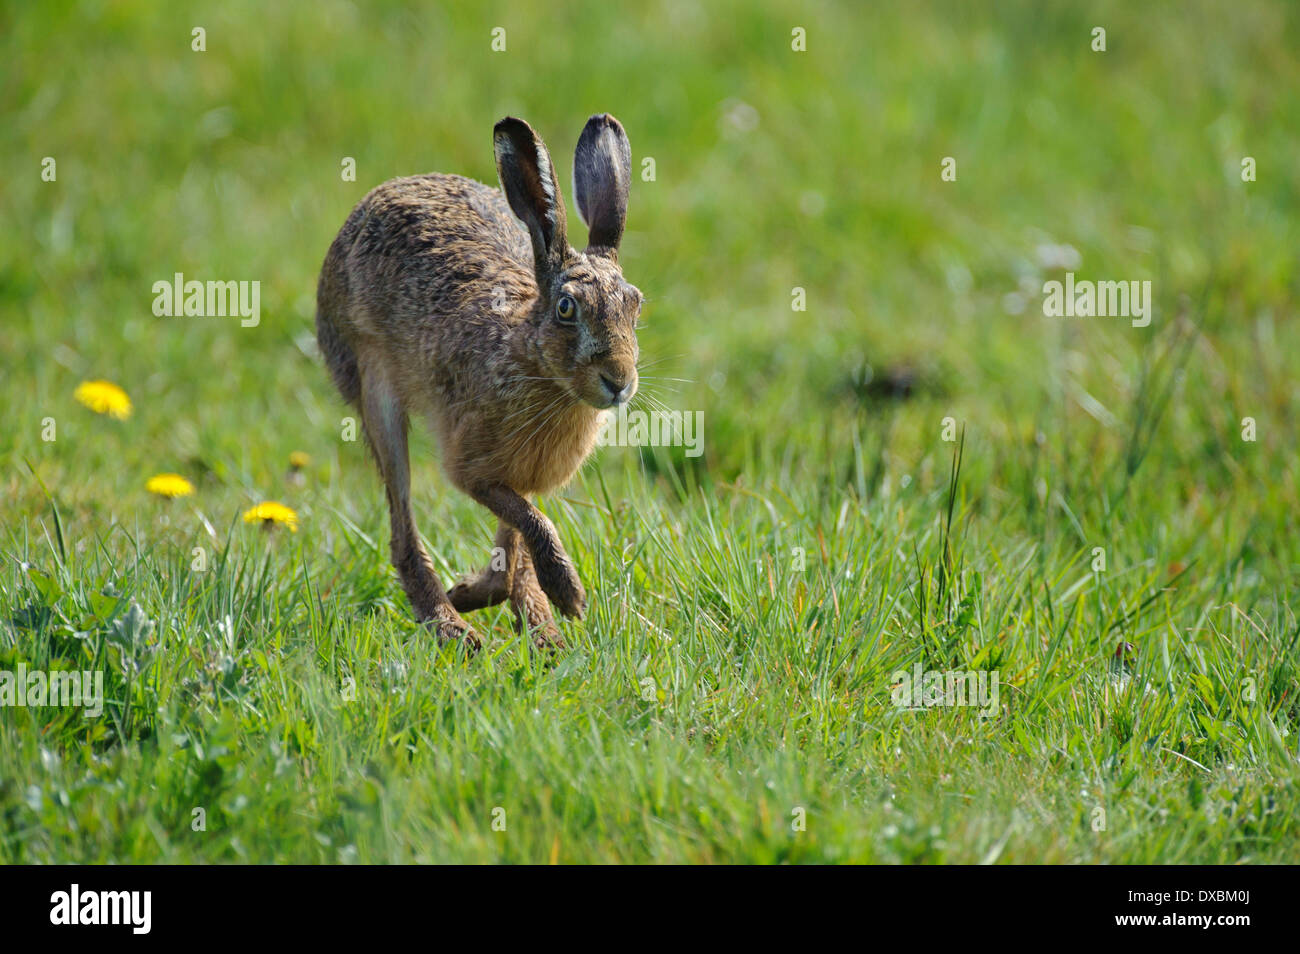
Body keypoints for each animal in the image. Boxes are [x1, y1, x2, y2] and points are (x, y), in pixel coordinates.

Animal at [316, 114, 641, 650]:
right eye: (566, 308)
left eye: (636, 306)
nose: (619, 380)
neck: (531, 358)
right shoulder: (472, 469)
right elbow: (531, 522)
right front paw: (568, 593)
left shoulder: (521, 477)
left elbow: (517, 539)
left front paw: (500, 597)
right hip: (372, 386)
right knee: (401, 525)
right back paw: (453, 628)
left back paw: (533, 630)